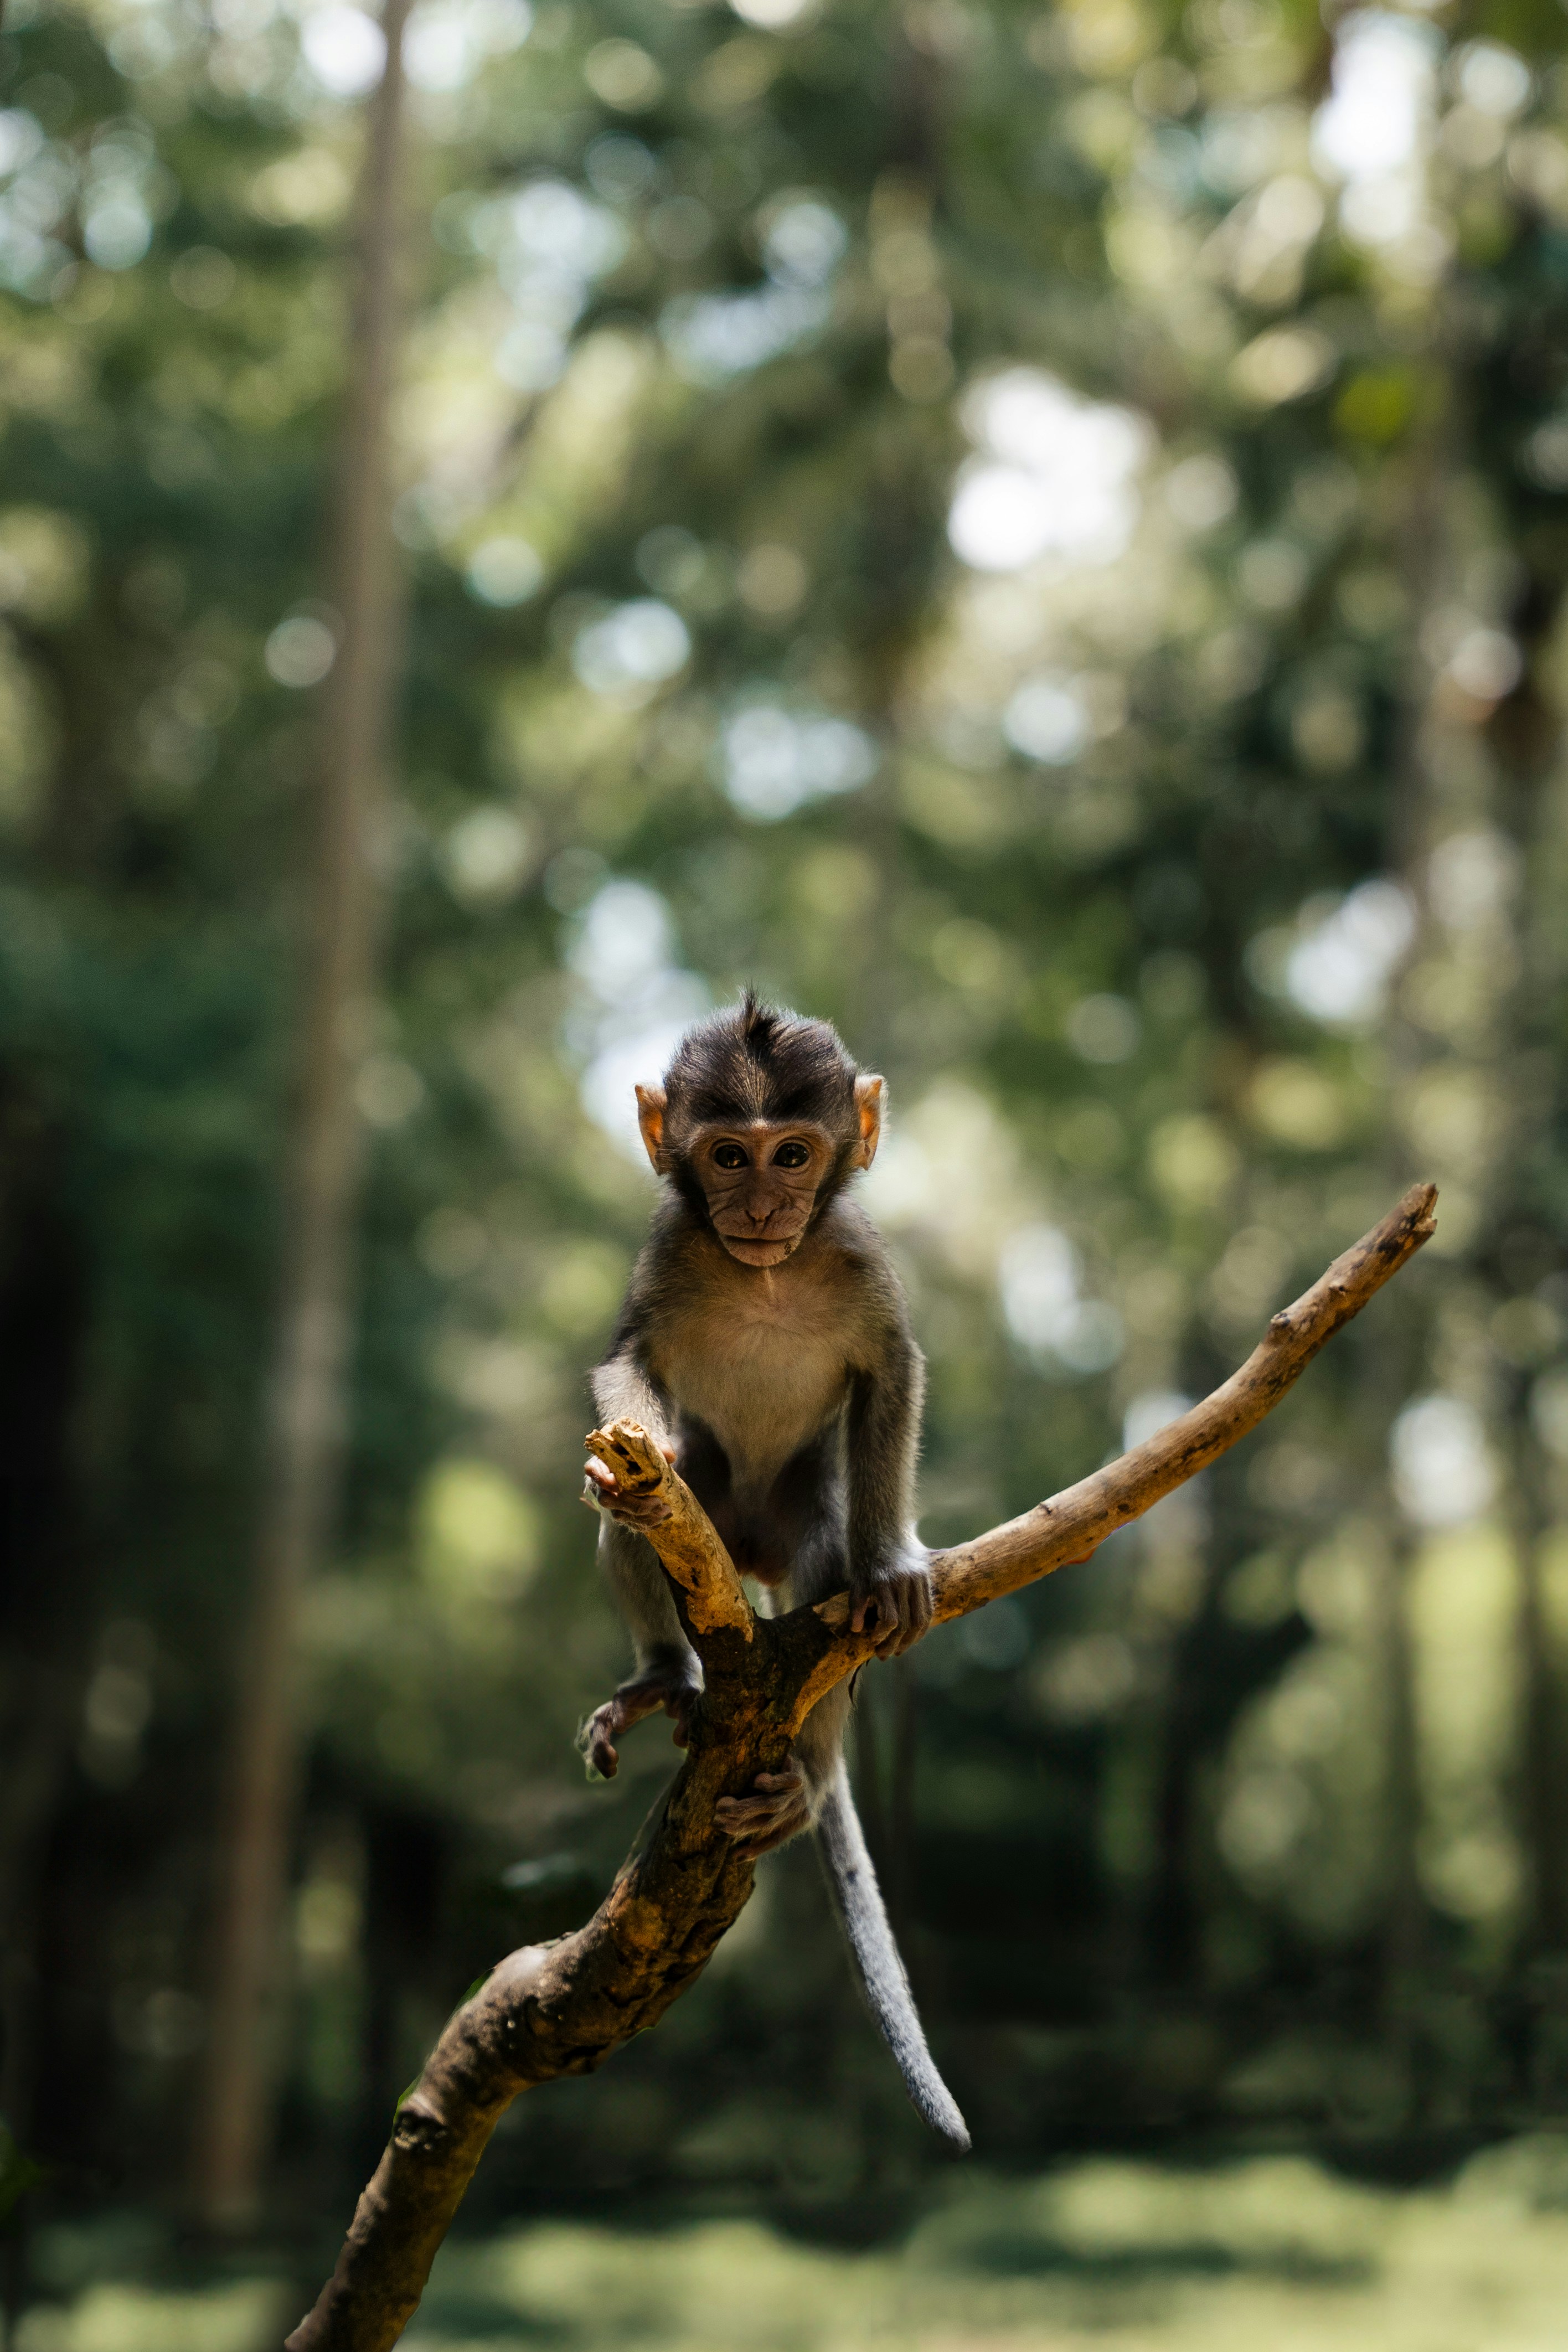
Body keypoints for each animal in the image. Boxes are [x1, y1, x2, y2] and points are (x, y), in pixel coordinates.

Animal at [577, 992, 968, 2149]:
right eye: (726, 1154)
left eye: (792, 1153)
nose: (756, 1202)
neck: (768, 1269)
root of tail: (743, 1553)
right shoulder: (668, 1248)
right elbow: (626, 1367)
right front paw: (639, 1453)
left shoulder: (853, 1254)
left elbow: (893, 1375)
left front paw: (891, 1568)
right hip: (710, 1516)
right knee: (633, 1530)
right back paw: (667, 1675)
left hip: (799, 1519)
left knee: (822, 1601)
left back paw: (807, 1776)